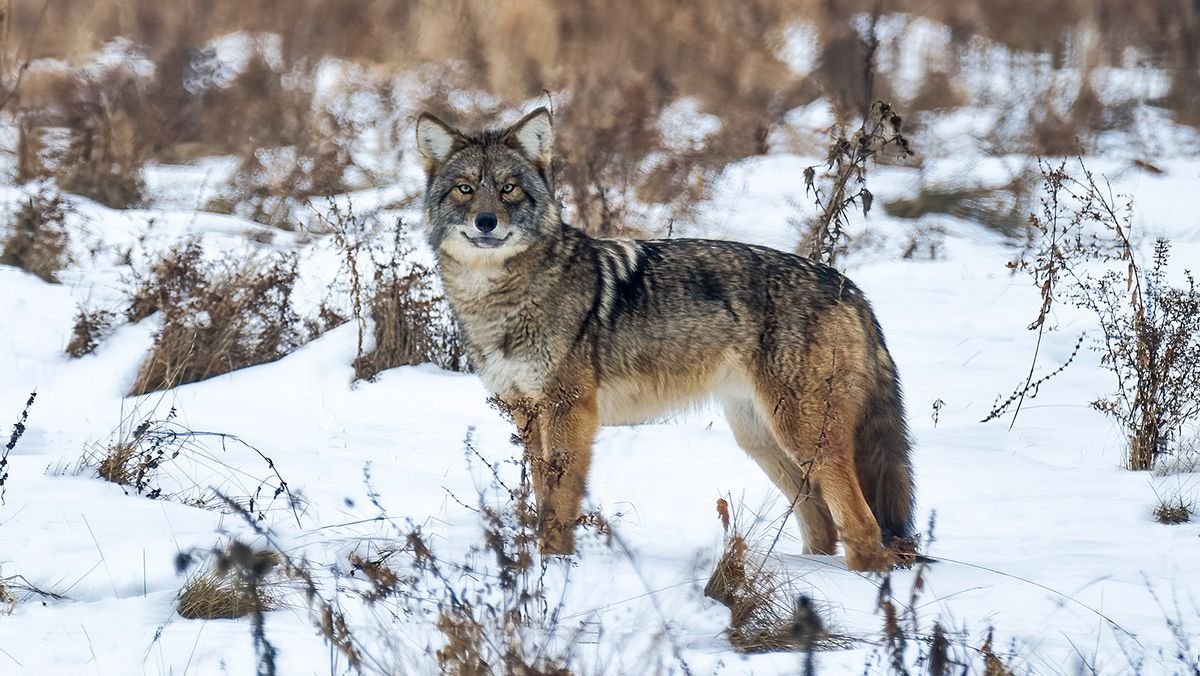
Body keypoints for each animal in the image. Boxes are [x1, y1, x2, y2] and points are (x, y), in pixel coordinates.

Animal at [415, 107, 914, 571]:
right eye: (465, 188)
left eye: (508, 188)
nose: (486, 222)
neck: (501, 299)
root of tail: (849, 286)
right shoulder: (527, 413)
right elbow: (542, 496)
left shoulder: (570, 412)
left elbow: (560, 501)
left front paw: (553, 566)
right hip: (760, 438)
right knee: (821, 522)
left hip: (804, 436)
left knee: (862, 523)